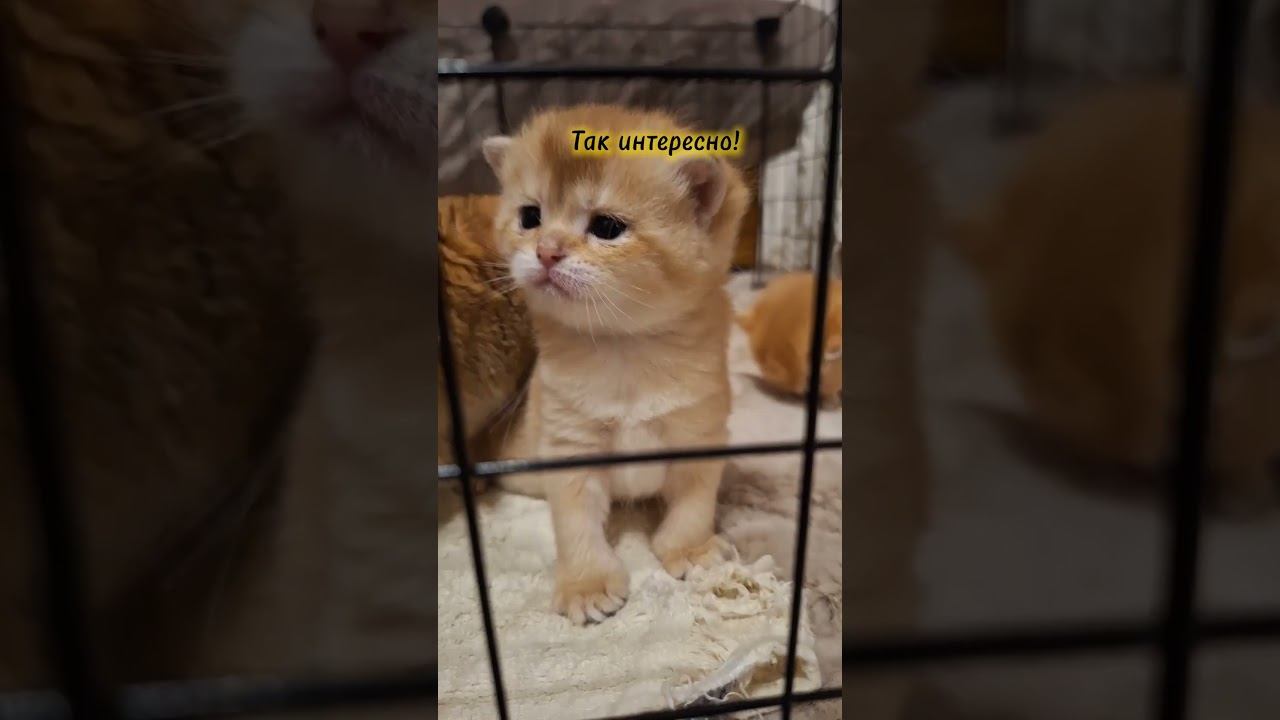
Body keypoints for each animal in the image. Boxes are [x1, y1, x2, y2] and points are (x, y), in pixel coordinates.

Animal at [483, 104, 750, 625]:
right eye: (530, 217)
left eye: (606, 227)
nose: (546, 251)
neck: (623, 348)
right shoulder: (570, 448)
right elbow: (575, 525)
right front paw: (586, 583)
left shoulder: (700, 434)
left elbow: (693, 506)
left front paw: (689, 549)